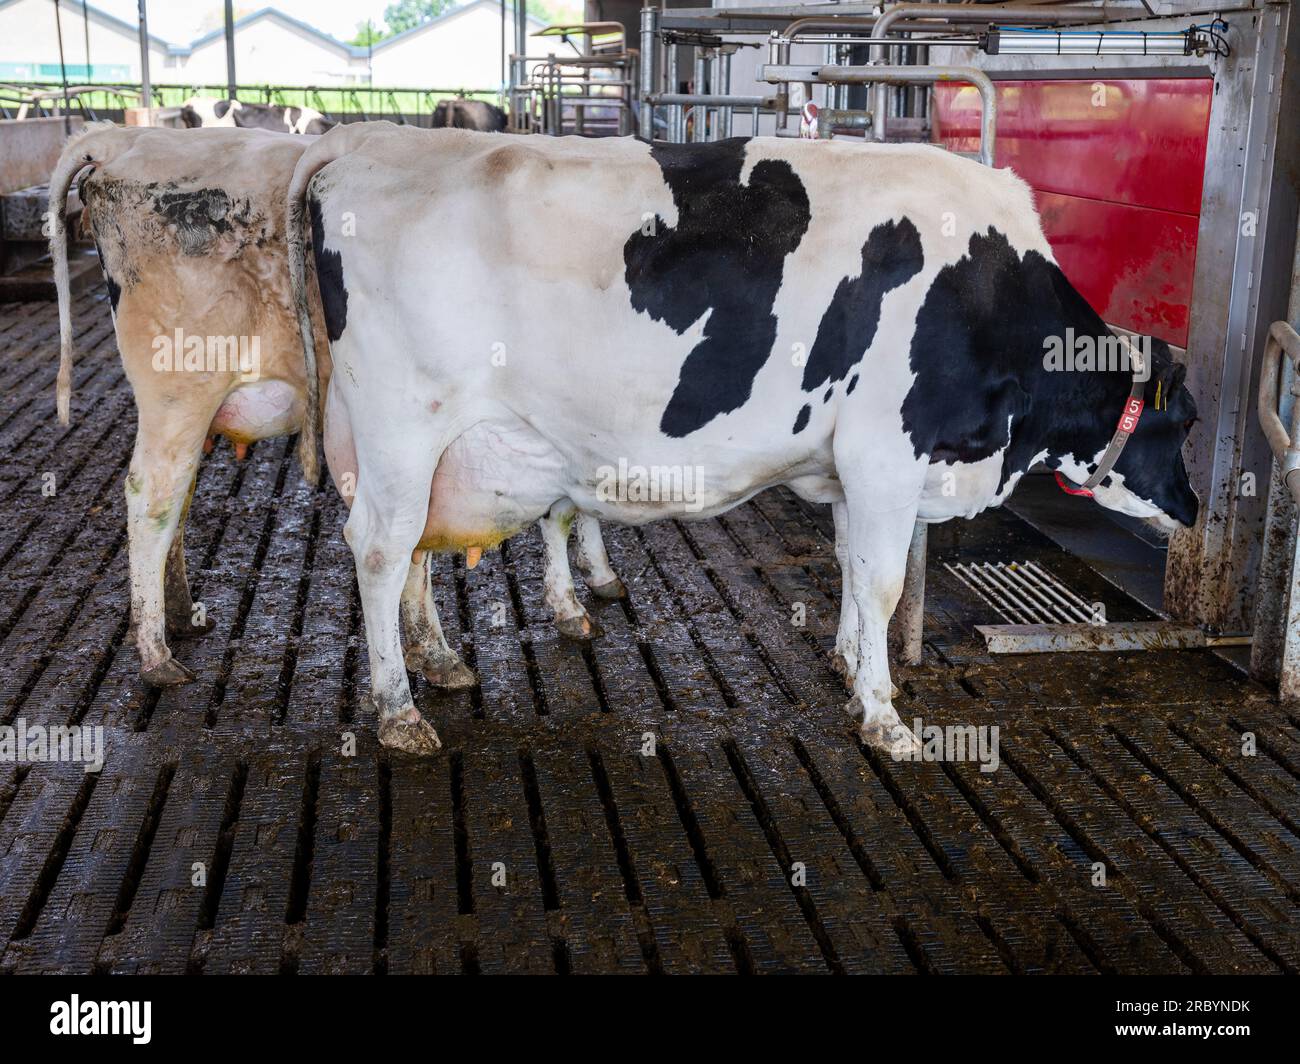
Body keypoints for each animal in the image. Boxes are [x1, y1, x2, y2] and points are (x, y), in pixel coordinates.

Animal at [47, 123, 622, 691]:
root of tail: (123, 139)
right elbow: (565, 509)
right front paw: (578, 597)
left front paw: (593, 578)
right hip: (181, 389)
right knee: (153, 498)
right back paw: (156, 651)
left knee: (181, 497)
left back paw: (184, 613)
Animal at [287, 124, 1199, 756]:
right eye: (1185, 420)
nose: (1193, 509)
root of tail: (364, 138)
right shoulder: (885, 455)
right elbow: (882, 586)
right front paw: (885, 717)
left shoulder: (851, 466)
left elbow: (850, 567)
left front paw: (847, 665)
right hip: (404, 421)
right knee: (382, 547)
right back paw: (398, 709)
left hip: (424, 447)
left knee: (416, 546)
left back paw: (440, 660)